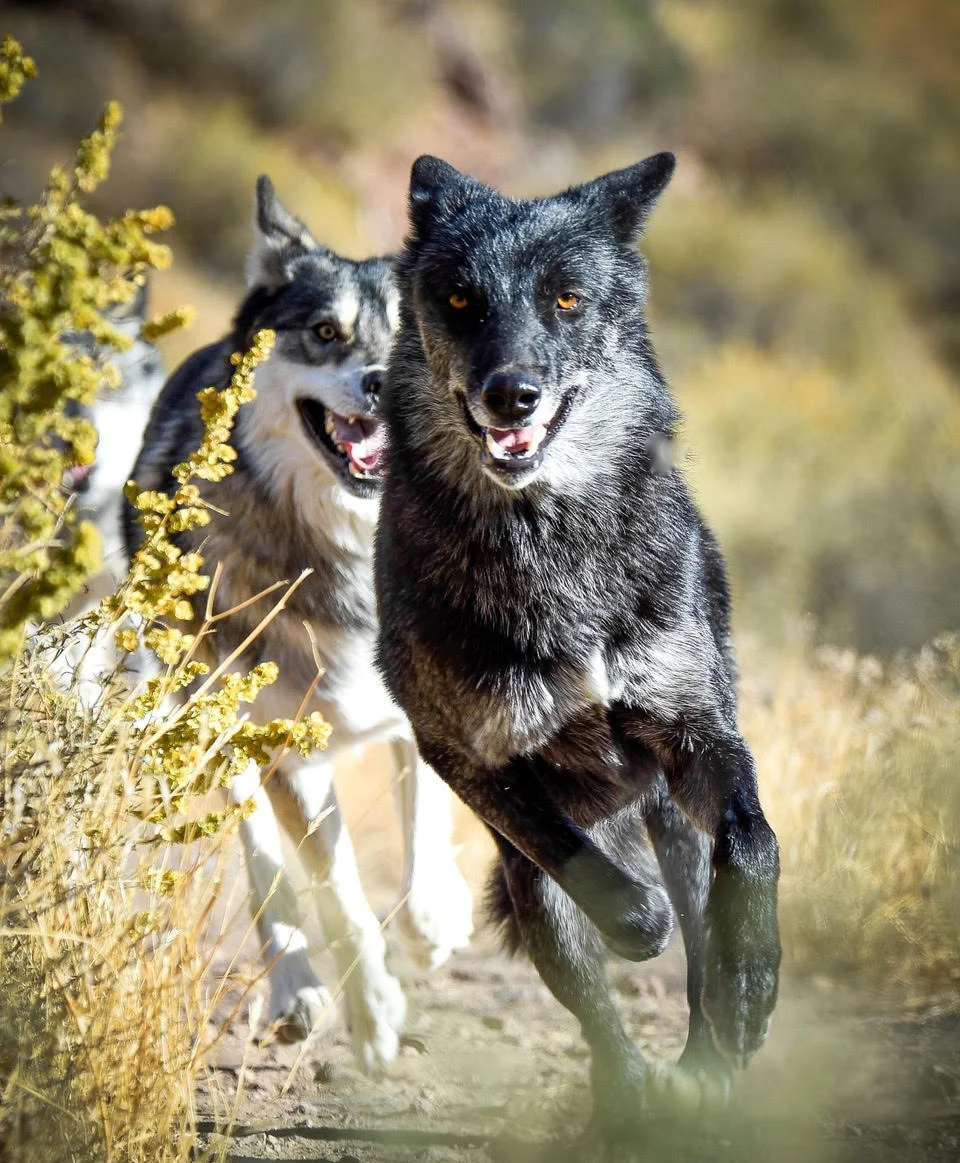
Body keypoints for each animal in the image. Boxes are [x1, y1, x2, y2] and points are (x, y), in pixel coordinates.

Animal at [125, 176, 473, 1072]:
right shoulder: (291, 749)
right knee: (263, 859)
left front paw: (435, 921)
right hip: (222, 726)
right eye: (325, 333)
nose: (382, 382)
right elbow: (341, 893)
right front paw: (375, 1013)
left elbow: (425, 835)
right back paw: (297, 988)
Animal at [375, 154, 781, 1137]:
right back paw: (627, 1100)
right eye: (458, 298)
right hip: (534, 883)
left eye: (565, 298)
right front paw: (637, 923)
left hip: (677, 823)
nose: (510, 393)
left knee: (703, 940)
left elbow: (754, 844)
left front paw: (755, 983)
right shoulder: (468, 757)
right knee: (590, 989)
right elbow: (594, 881)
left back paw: (707, 1066)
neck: (552, 548)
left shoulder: (699, 731)